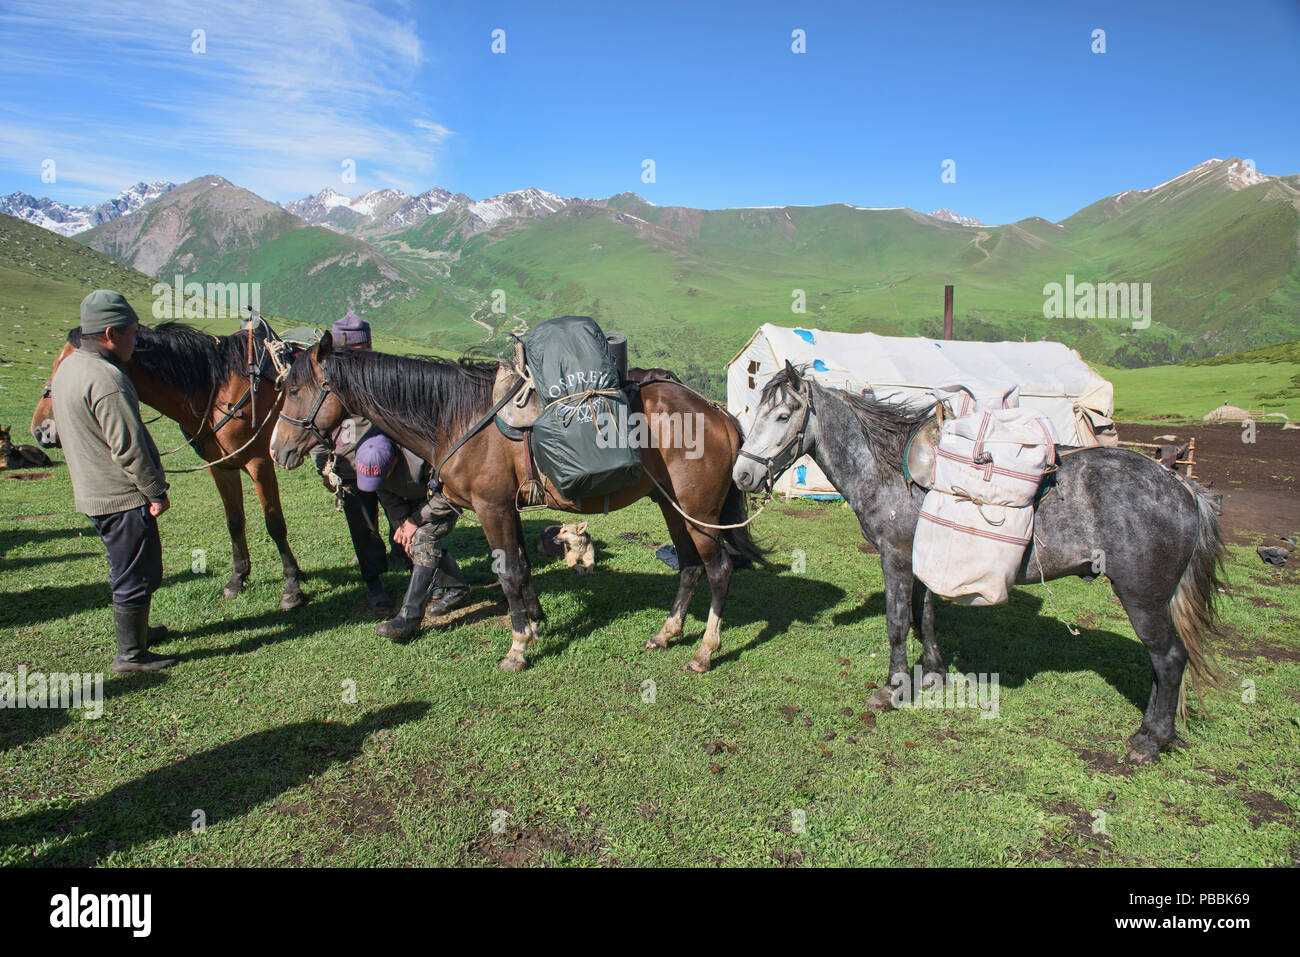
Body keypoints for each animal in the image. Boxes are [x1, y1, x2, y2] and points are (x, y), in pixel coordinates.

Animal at [31, 323, 306, 611]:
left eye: (65, 365)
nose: (41, 430)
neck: (218, 390)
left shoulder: (259, 463)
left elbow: (275, 524)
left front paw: (291, 586)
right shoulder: (221, 467)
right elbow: (235, 521)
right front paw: (237, 580)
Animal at [269, 330, 766, 672]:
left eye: (293, 390)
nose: (278, 450)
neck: (458, 415)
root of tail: (719, 413)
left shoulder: (492, 508)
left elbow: (507, 574)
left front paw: (518, 647)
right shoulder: (504, 507)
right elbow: (520, 568)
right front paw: (535, 623)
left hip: (700, 515)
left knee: (718, 570)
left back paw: (704, 651)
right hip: (673, 509)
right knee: (689, 567)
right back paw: (666, 634)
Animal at [733, 362, 1226, 765]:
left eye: (782, 416)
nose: (743, 475)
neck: (888, 470)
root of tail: (1182, 488)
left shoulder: (896, 559)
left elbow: (898, 623)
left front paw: (893, 689)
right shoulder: (923, 563)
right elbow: (926, 617)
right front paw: (933, 677)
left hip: (1142, 595)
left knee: (1169, 658)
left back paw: (1150, 740)